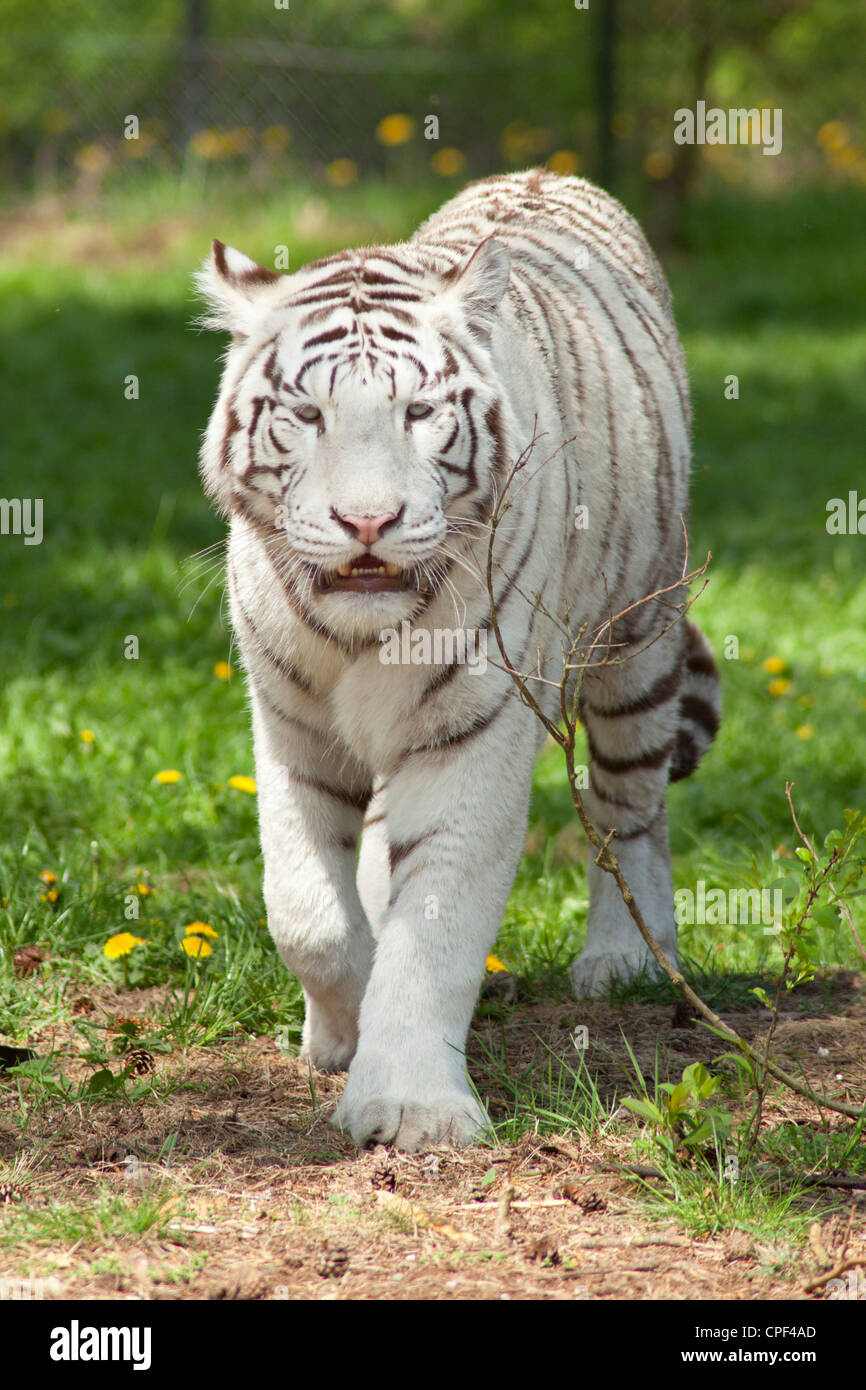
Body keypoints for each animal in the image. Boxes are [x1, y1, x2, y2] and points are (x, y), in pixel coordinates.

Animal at [196, 168, 721, 1152]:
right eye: (308, 415)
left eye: (419, 413)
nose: (369, 521)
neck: (361, 631)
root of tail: (549, 171)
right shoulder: (289, 730)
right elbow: (308, 915)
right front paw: (342, 1033)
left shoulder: (476, 731)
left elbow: (435, 925)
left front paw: (411, 1108)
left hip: (639, 641)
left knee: (632, 811)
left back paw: (625, 959)